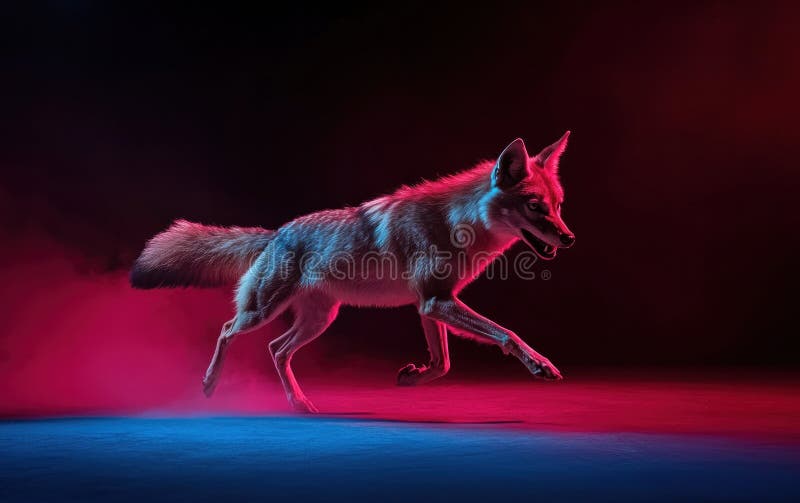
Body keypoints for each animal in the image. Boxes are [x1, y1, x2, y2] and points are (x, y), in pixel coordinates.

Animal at [130, 133, 576, 413]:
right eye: (535, 206)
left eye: (557, 206)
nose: (569, 238)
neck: (457, 222)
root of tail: (276, 233)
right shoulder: (436, 301)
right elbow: (506, 333)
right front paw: (539, 364)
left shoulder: (431, 304)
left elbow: (443, 363)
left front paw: (411, 377)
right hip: (262, 312)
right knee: (227, 330)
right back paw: (209, 384)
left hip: (319, 320)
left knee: (277, 350)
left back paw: (300, 404)